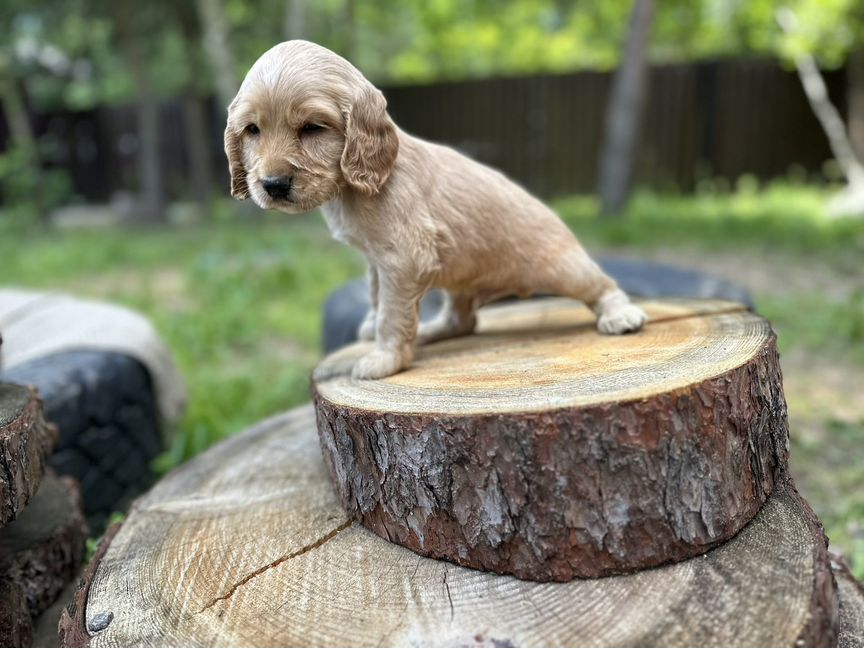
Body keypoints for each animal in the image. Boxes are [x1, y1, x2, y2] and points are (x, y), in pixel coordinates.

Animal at [226, 39, 644, 380]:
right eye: (252, 130)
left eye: (313, 128)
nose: (273, 185)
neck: (356, 187)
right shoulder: (377, 260)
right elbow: (378, 297)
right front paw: (374, 329)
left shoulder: (403, 258)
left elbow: (393, 313)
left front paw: (384, 359)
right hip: (460, 278)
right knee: (464, 320)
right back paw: (430, 331)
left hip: (562, 267)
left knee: (601, 284)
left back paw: (620, 314)